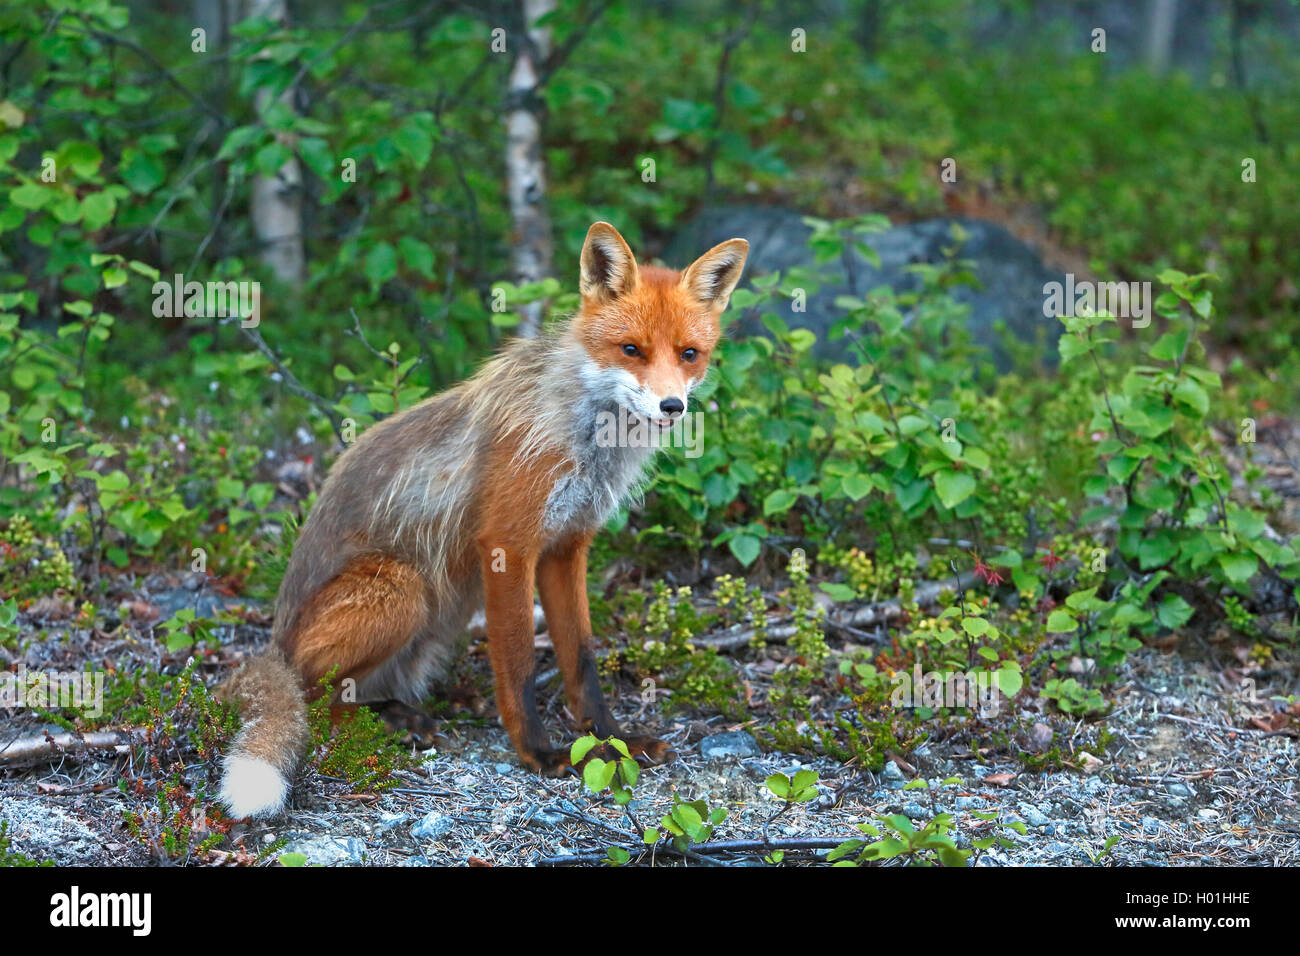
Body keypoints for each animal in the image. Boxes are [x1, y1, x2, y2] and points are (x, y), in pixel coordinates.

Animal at [217, 221, 749, 818]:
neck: (586, 439)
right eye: (631, 349)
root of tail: (274, 644)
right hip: (403, 588)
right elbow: (517, 665)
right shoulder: (509, 545)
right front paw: (541, 755)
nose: (672, 407)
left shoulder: (567, 547)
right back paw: (381, 726)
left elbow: (581, 662)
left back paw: (394, 714)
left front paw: (612, 740)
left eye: (689, 354)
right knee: (314, 696)